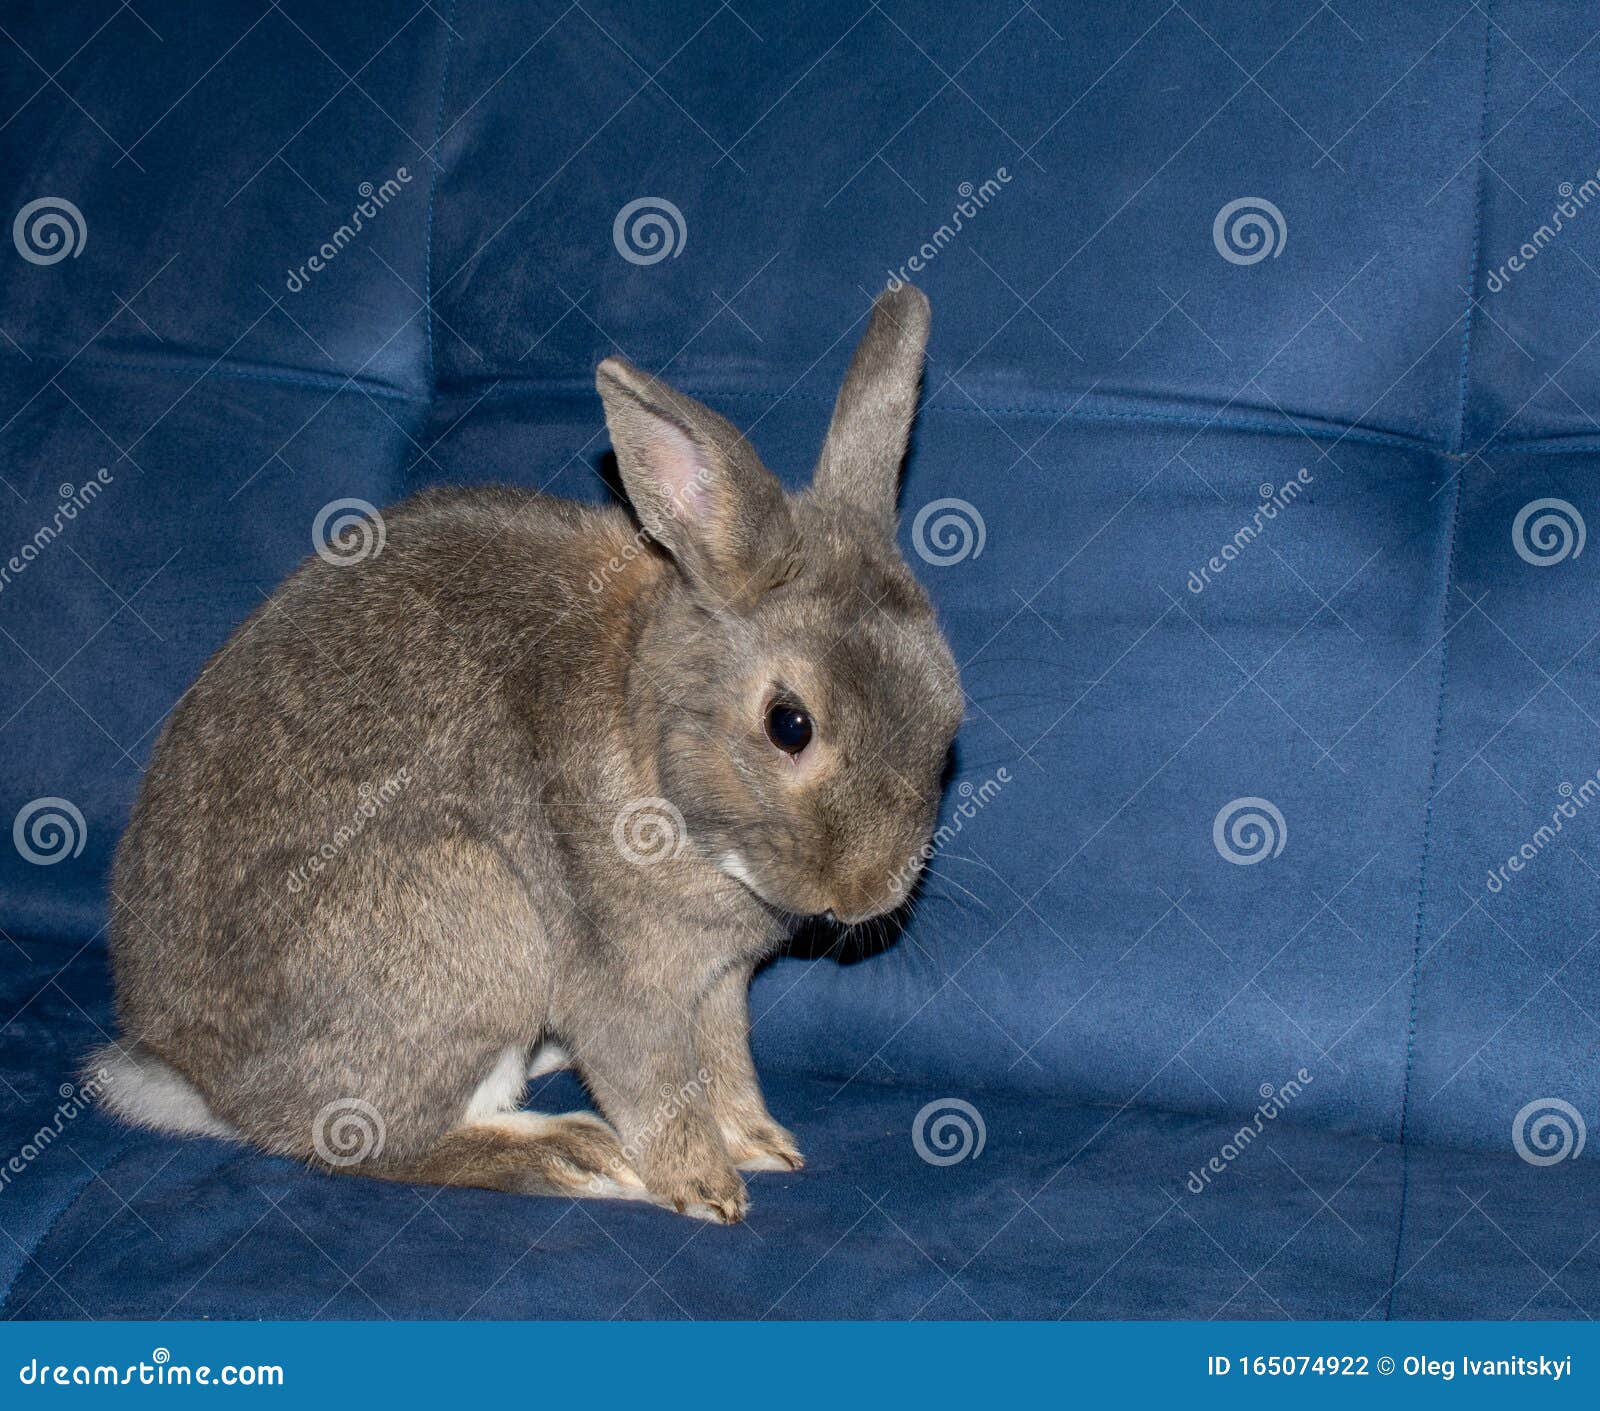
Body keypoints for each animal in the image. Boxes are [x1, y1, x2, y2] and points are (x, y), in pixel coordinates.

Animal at [88, 284, 962, 1224]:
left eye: (951, 712)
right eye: (789, 723)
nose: (868, 893)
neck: (645, 721)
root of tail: (199, 1083)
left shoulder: (718, 984)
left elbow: (727, 1065)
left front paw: (763, 1144)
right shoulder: (622, 984)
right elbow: (655, 1082)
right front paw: (706, 1189)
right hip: (474, 919)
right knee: (376, 1140)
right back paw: (573, 1154)